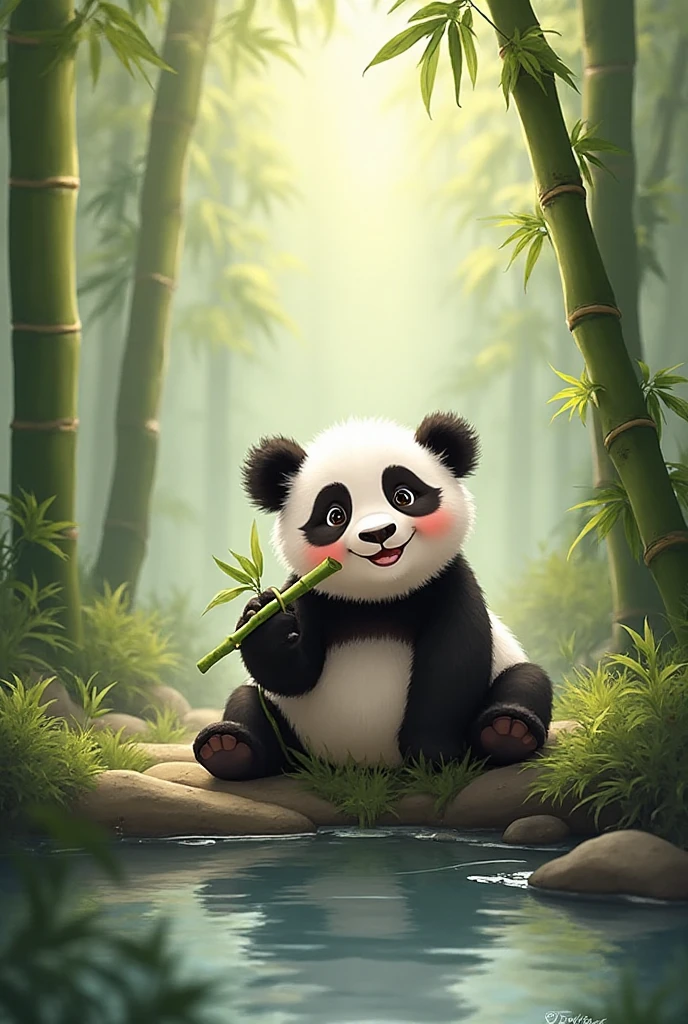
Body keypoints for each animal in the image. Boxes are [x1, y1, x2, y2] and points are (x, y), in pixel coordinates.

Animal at [193, 411, 553, 781]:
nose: (378, 533)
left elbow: (452, 665)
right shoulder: (311, 594)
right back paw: (229, 748)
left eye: (403, 496)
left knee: (528, 679)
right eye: (335, 515)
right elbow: (294, 675)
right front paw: (266, 617)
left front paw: (433, 754)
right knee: (247, 701)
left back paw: (507, 731)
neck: (378, 597)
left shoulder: (450, 584)